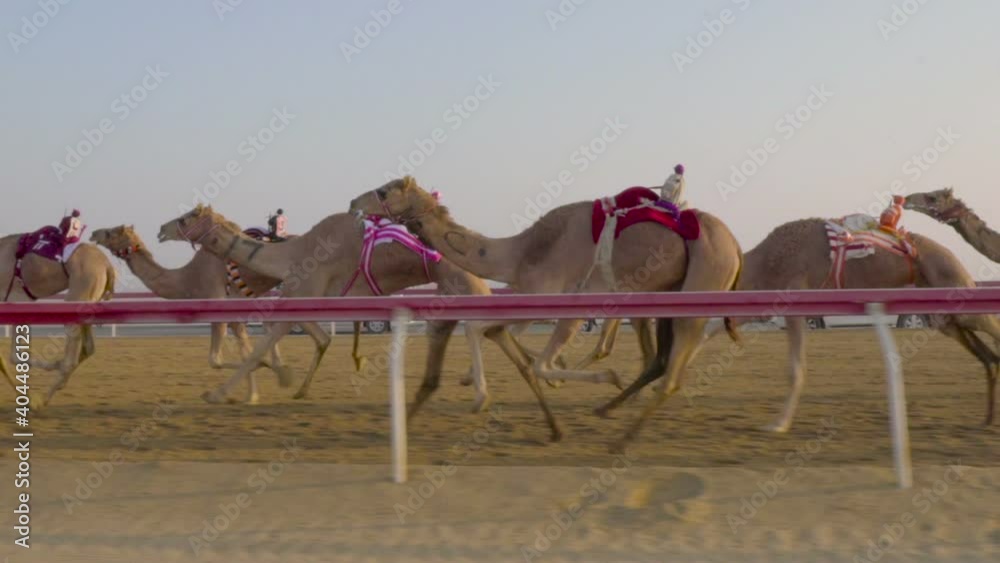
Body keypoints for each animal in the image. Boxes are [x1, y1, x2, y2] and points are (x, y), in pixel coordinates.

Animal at [1, 233, 116, 407]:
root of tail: (107, 265)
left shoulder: (18, 299)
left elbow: (15, 356)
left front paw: (31, 400)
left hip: (76, 298)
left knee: (70, 360)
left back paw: (42, 400)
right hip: (89, 302)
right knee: (88, 348)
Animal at [89, 225, 302, 404]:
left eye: (111, 233)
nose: (94, 233)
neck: (188, 278)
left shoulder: (219, 304)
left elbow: (216, 360)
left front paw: (268, 372)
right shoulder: (235, 313)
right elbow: (245, 352)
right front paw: (254, 394)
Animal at [156, 204, 568, 435]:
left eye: (188, 217)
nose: (161, 228)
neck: (292, 254)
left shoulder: (303, 292)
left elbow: (265, 343)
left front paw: (219, 393)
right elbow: (320, 339)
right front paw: (297, 386)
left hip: (460, 283)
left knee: (483, 328)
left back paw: (499, 390)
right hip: (458, 288)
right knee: (497, 333)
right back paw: (549, 409)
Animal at [349, 176, 744, 450]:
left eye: (384, 190)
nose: (353, 202)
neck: (520, 253)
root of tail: (735, 245)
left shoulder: (564, 300)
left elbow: (528, 356)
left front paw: (483, 396)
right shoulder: (533, 299)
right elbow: (491, 333)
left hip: (705, 279)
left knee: (673, 373)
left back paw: (622, 439)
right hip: (671, 294)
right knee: (663, 361)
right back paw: (611, 413)